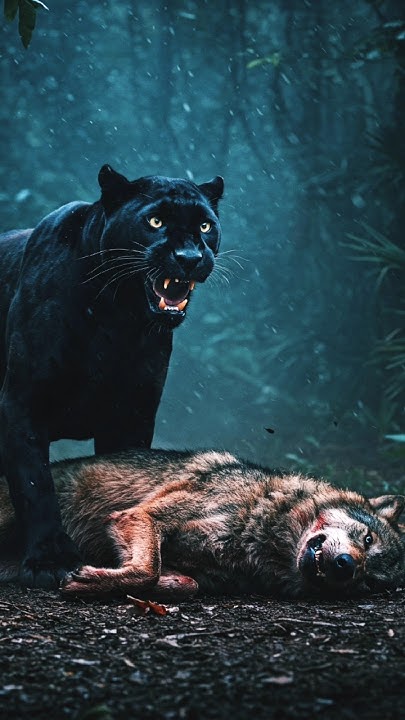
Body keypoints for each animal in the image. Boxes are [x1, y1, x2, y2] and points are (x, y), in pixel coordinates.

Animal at [0, 449, 403, 599]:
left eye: (369, 582)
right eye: (367, 539)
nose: (346, 566)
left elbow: (184, 583)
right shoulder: (141, 516)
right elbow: (147, 568)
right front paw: (89, 581)